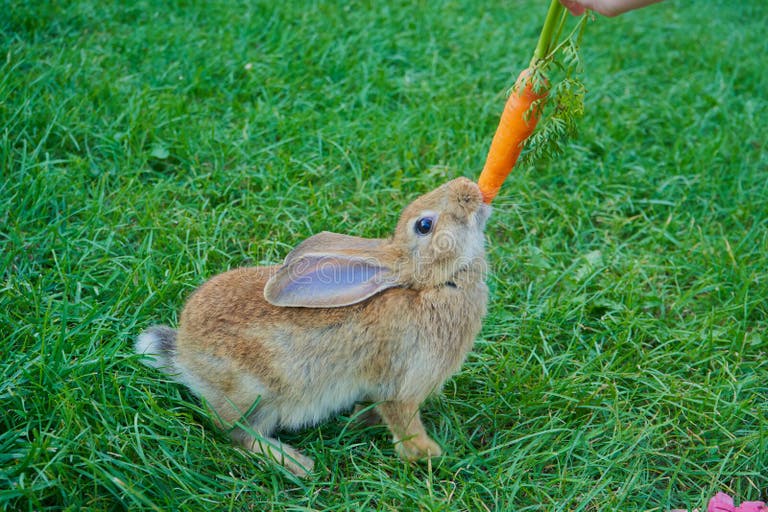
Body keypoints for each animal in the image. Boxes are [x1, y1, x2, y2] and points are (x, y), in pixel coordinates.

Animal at [135, 177, 490, 477]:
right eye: (425, 225)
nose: (468, 187)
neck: (430, 285)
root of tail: (183, 353)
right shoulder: (402, 382)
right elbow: (403, 422)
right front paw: (429, 454)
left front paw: (362, 422)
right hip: (255, 394)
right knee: (237, 435)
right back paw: (297, 463)